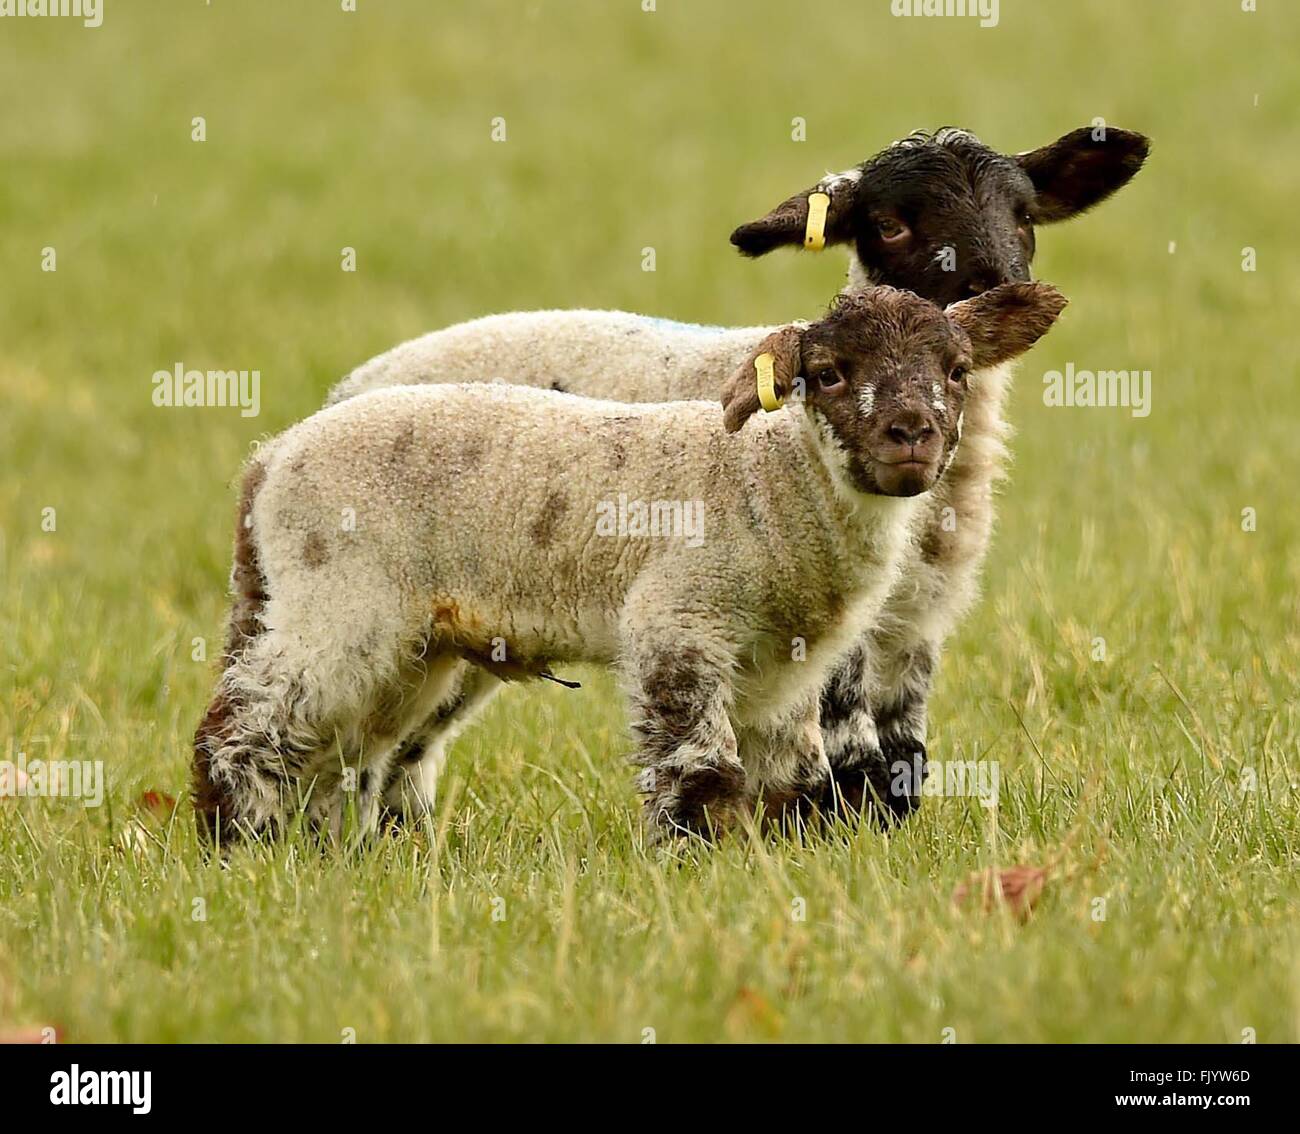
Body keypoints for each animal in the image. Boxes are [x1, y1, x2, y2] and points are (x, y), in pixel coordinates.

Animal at [193, 282, 1065, 845]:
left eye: (957, 369)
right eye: (829, 374)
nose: (912, 433)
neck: (767, 479)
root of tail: (268, 461)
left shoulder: (782, 668)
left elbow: (792, 776)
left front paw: (779, 859)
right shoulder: (677, 619)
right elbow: (699, 765)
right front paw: (692, 859)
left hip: (412, 645)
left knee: (347, 751)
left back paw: (321, 852)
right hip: (339, 600)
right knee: (250, 720)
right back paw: (233, 841)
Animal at [321, 124, 1146, 821]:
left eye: (1024, 215)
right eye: (890, 224)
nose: (995, 285)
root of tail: (345, 389)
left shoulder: (916, 621)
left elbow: (903, 758)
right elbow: (850, 757)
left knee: (403, 746)